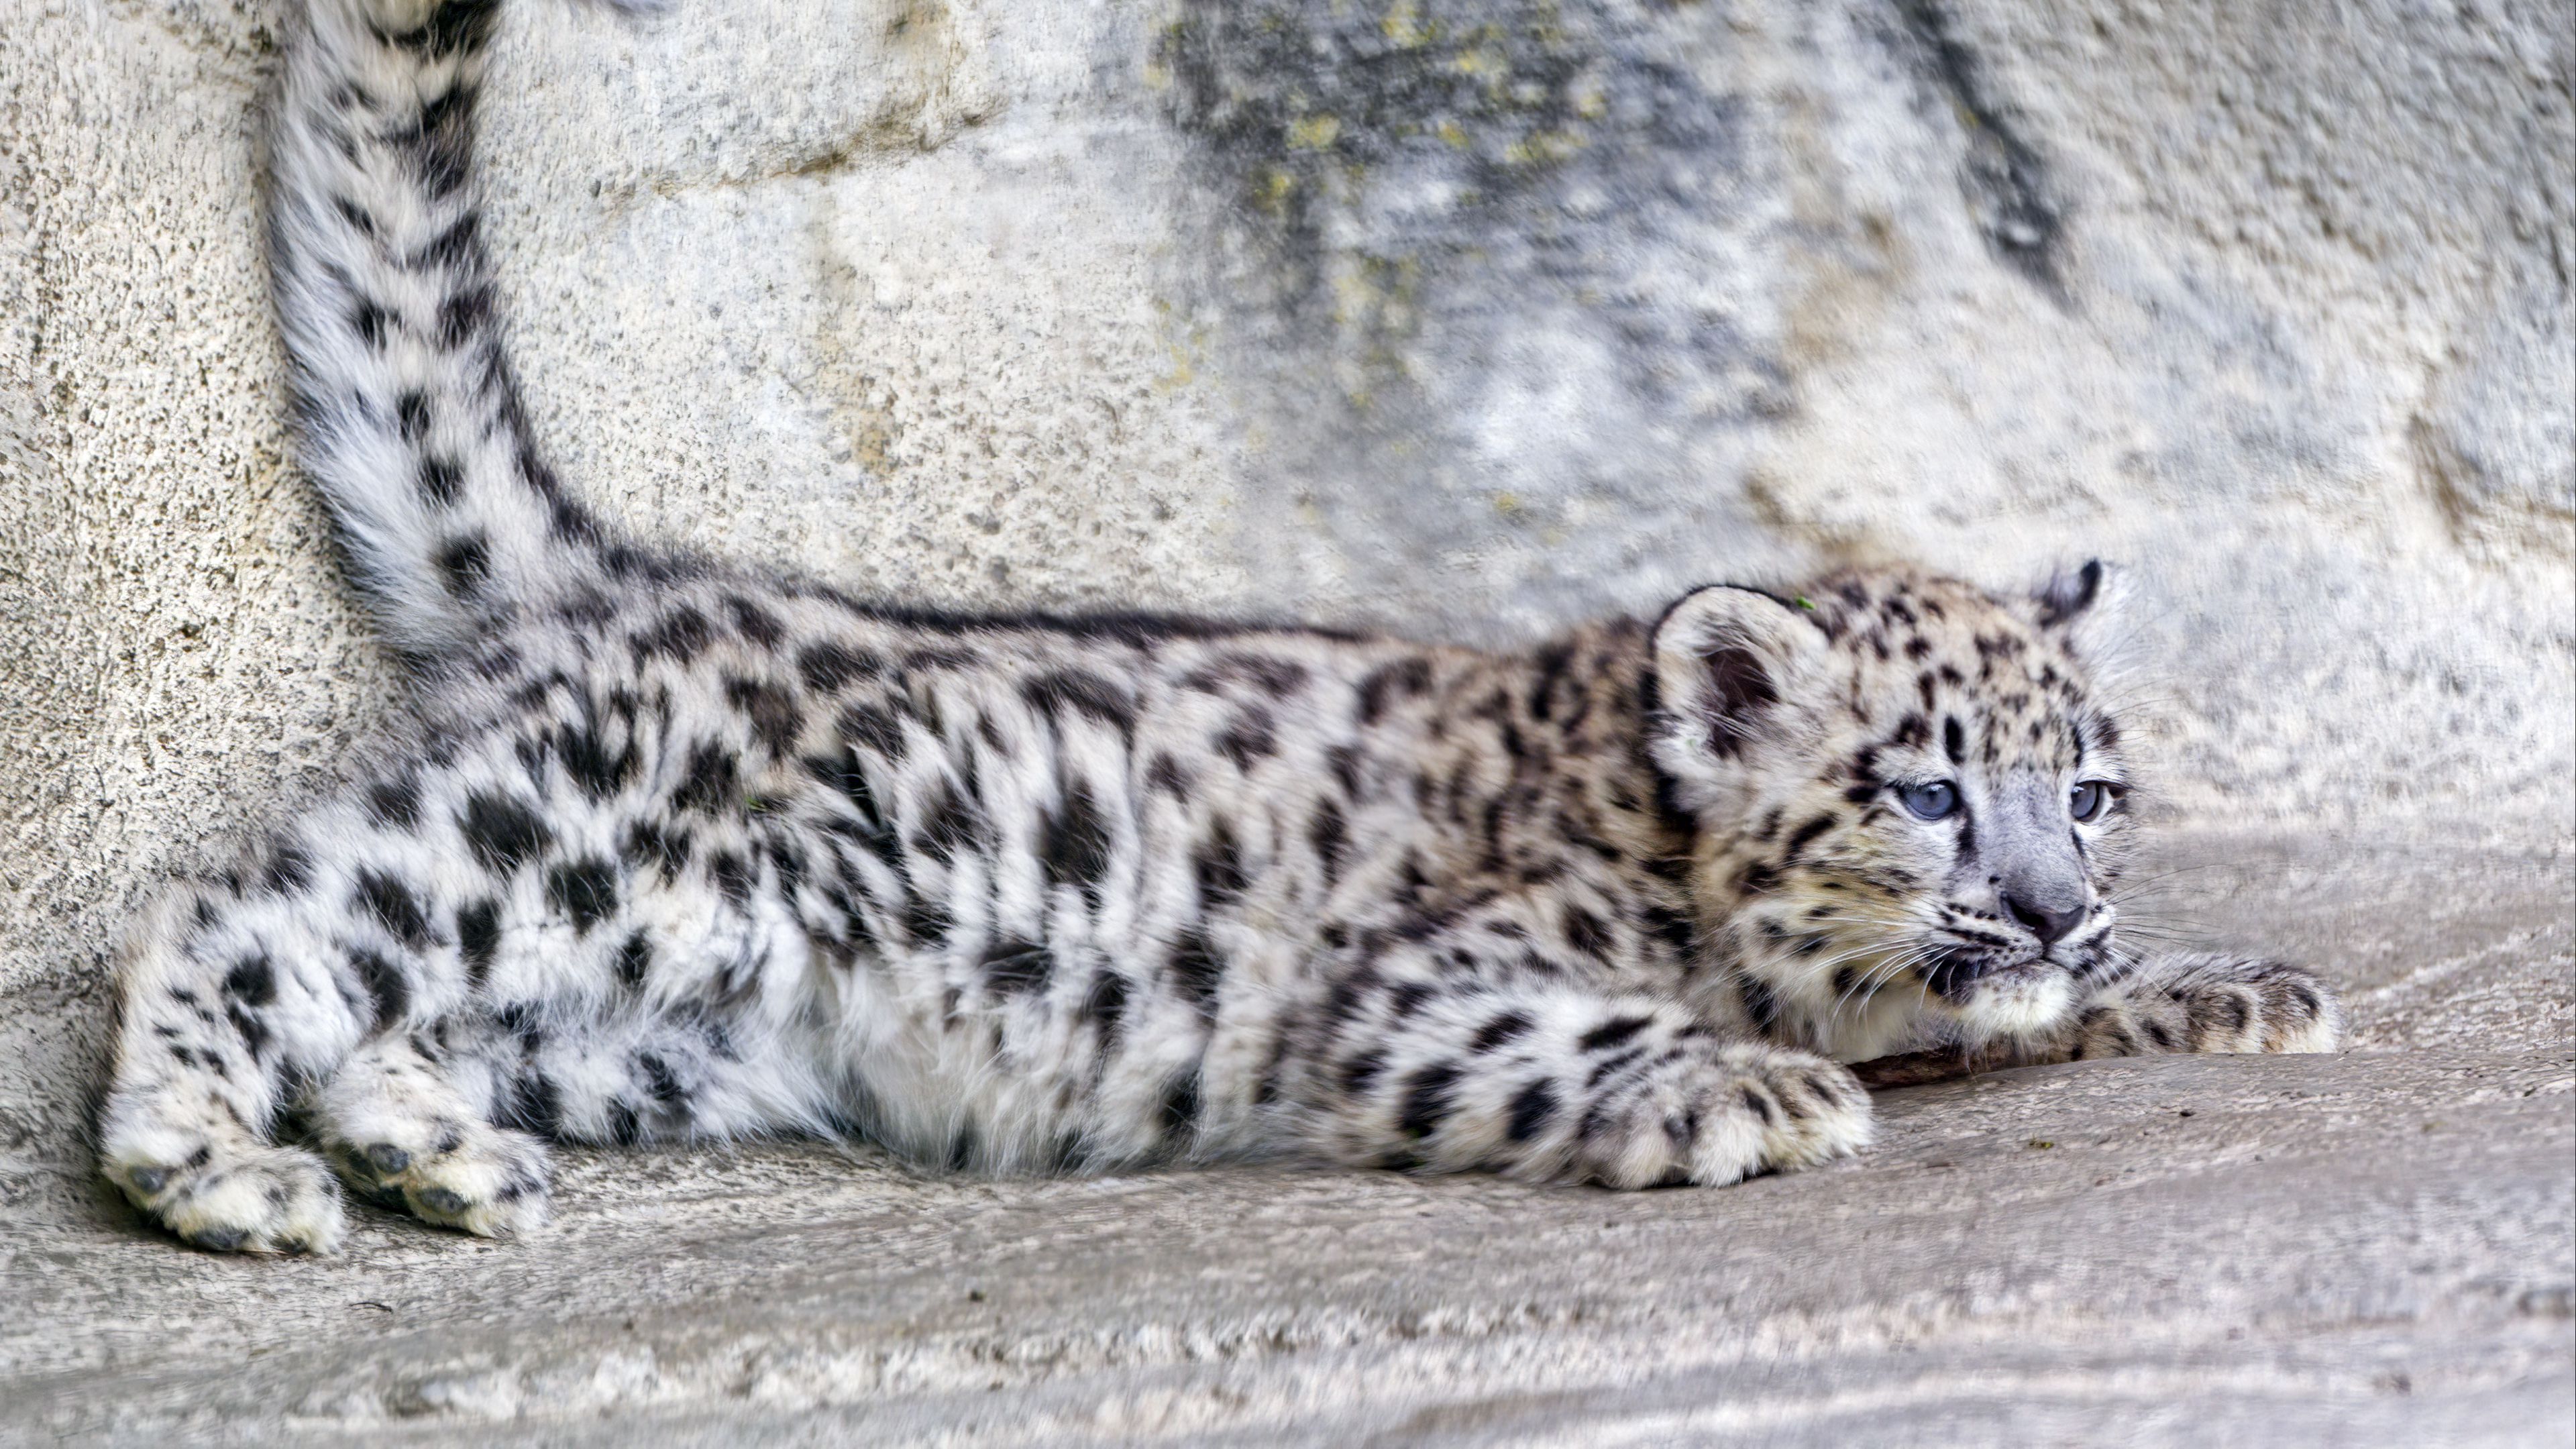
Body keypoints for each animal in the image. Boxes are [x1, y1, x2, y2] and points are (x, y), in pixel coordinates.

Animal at [95, 0, 2342, 1254]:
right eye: (1920, 790)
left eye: (2090, 791)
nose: (2049, 902)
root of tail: (635, 579)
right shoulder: (1429, 990)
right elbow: (1595, 1028)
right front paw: (1751, 1089)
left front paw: (2221, 979)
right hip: (542, 851)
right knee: (237, 924)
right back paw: (223, 1172)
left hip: (666, 1033)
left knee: (399, 1017)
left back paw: (437, 1149)